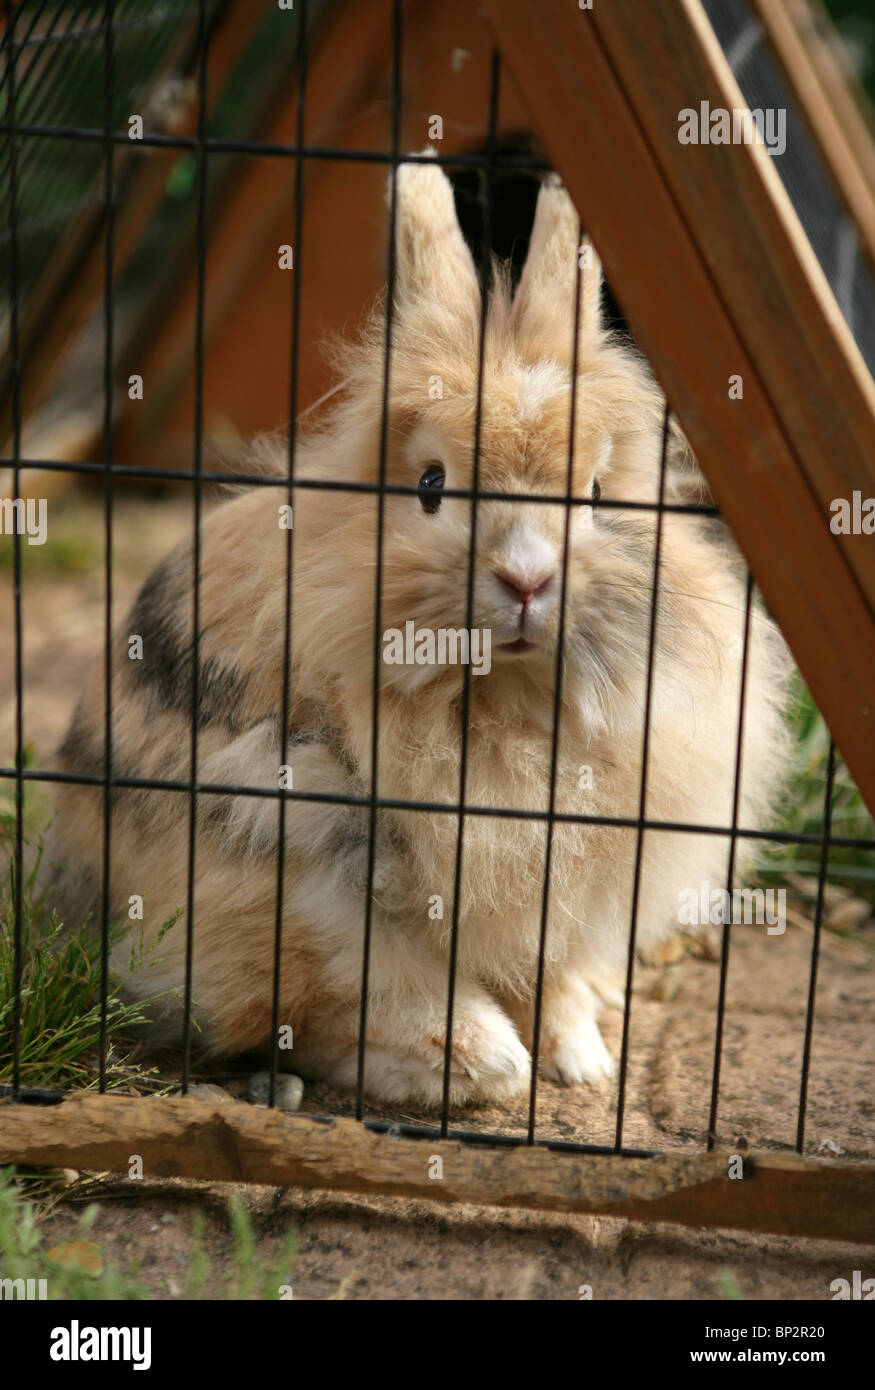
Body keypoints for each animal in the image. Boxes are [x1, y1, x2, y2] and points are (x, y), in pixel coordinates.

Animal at [43, 157, 792, 1107]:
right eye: (431, 485)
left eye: (594, 492)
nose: (527, 577)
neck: (501, 697)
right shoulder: (290, 855)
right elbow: (356, 988)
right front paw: (507, 1062)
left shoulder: (564, 885)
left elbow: (546, 976)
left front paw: (578, 1061)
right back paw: (470, 1061)